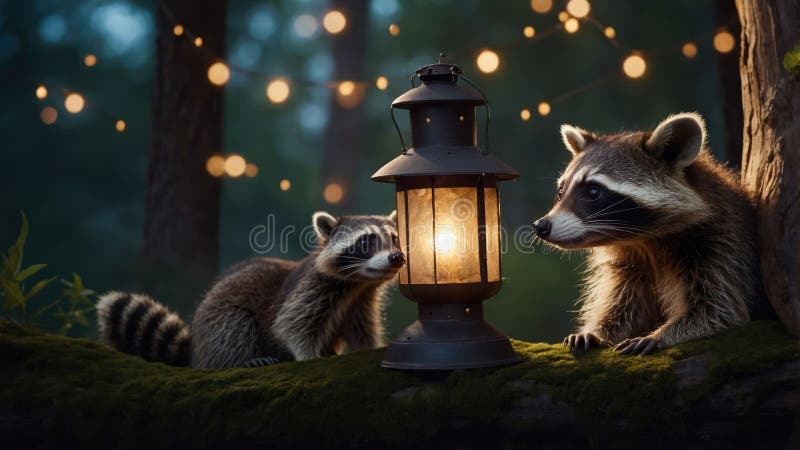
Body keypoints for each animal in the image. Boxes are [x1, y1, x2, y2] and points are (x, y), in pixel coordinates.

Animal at [96, 211, 405, 368]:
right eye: (366, 242)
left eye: (394, 239)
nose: (396, 258)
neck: (358, 282)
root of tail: (196, 350)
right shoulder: (310, 289)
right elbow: (291, 325)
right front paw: (307, 356)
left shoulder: (360, 301)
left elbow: (362, 330)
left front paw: (371, 347)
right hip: (218, 318)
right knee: (233, 330)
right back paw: (243, 360)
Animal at [533, 113, 771, 355]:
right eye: (561, 191)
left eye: (592, 192)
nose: (541, 226)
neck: (643, 240)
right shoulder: (628, 264)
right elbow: (623, 304)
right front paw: (598, 331)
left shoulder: (721, 243)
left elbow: (719, 309)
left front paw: (662, 335)